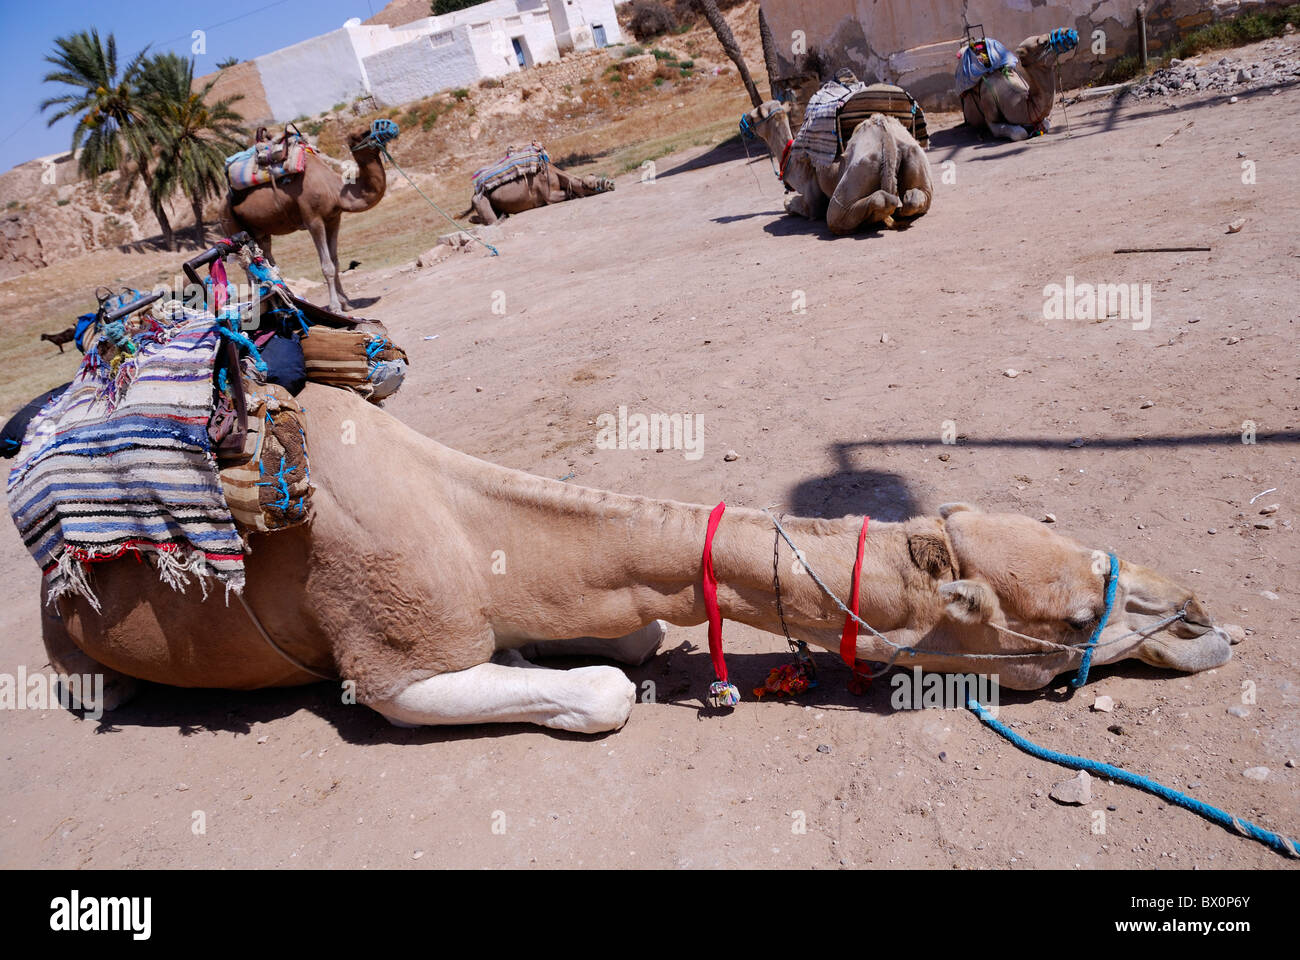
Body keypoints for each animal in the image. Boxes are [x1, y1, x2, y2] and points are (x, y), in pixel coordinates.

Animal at [38, 385, 1234, 735]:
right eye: (1075, 617)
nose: (1202, 618)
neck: (474, 528)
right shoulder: (390, 665)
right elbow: (608, 693)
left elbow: (637, 632)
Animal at [219, 126, 388, 312]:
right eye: (365, 133)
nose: (388, 131)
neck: (335, 191)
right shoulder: (313, 220)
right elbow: (327, 266)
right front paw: (335, 307)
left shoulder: (333, 219)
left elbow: (335, 262)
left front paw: (346, 303)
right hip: (232, 227)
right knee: (248, 270)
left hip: (259, 233)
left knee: (267, 258)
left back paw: (287, 296)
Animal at [465, 163, 614, 226]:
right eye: (590, 185)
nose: (610, 183)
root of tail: (474, 194)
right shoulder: (548, 195)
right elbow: (564, 194)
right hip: (481, 200)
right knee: (491, 221)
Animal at [744, 100, 933, 233]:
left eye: (755, 114)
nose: (744, 119)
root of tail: (886, 136)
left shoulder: (813, 200)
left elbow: (794, 204)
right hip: (914, 154)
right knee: (914, 198)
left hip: (859, 170)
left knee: (836, 215)